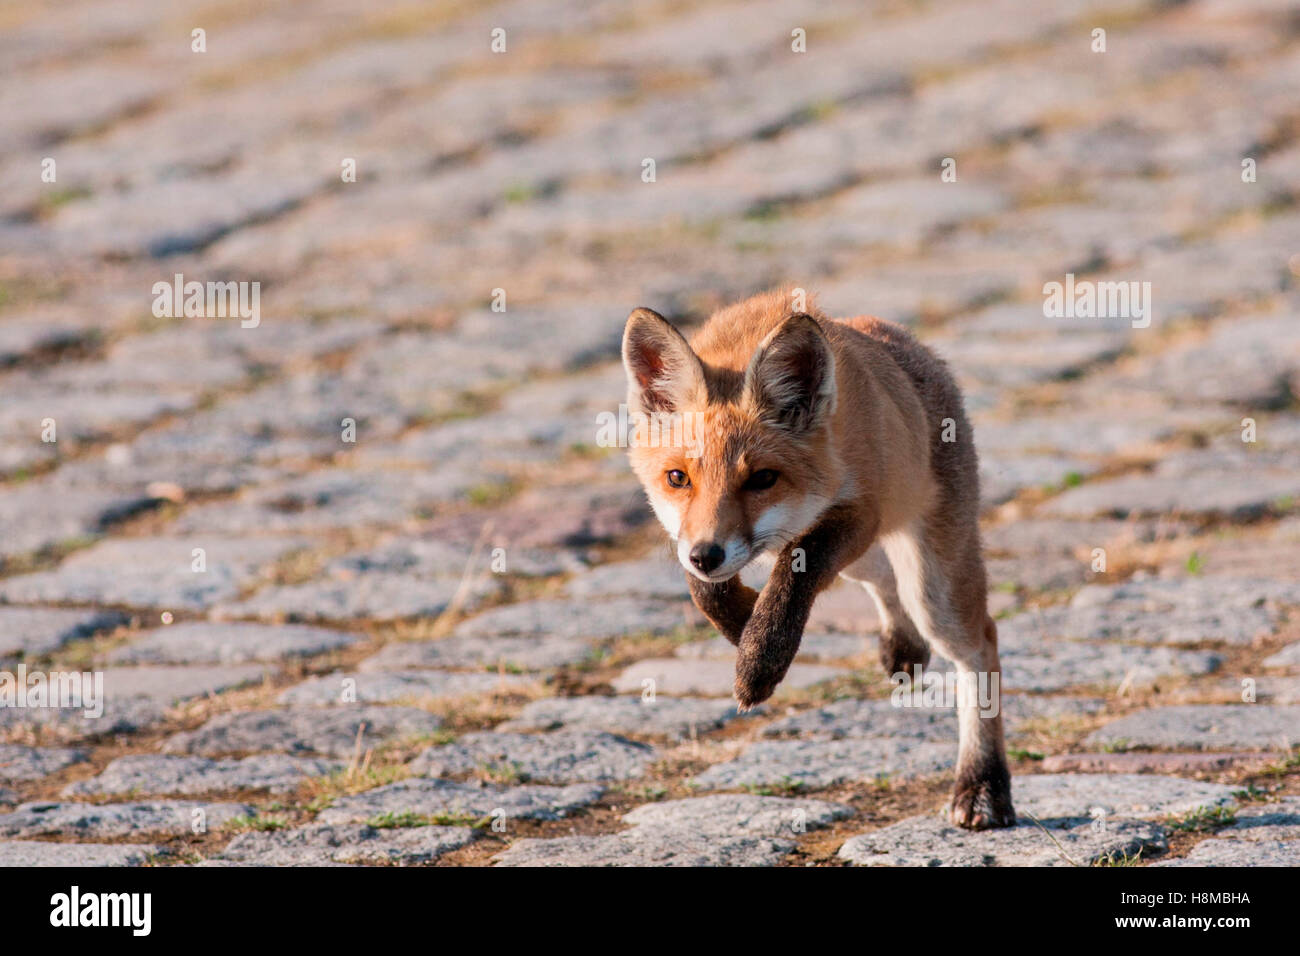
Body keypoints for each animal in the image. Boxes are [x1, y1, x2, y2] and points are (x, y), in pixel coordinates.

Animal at [620, 287, 1014, 829]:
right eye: (677, 478)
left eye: (763, 479)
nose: (706, 555)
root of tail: (903, 339)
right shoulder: (692, 536)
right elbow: (706, 592)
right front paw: (742, 624)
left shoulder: (858, 512)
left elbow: (794, 573)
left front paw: (759, 660)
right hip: (871, 560)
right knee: (884, 582)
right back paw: (903, 646)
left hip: (934, 588)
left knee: (980, 643)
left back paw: (982, 785)